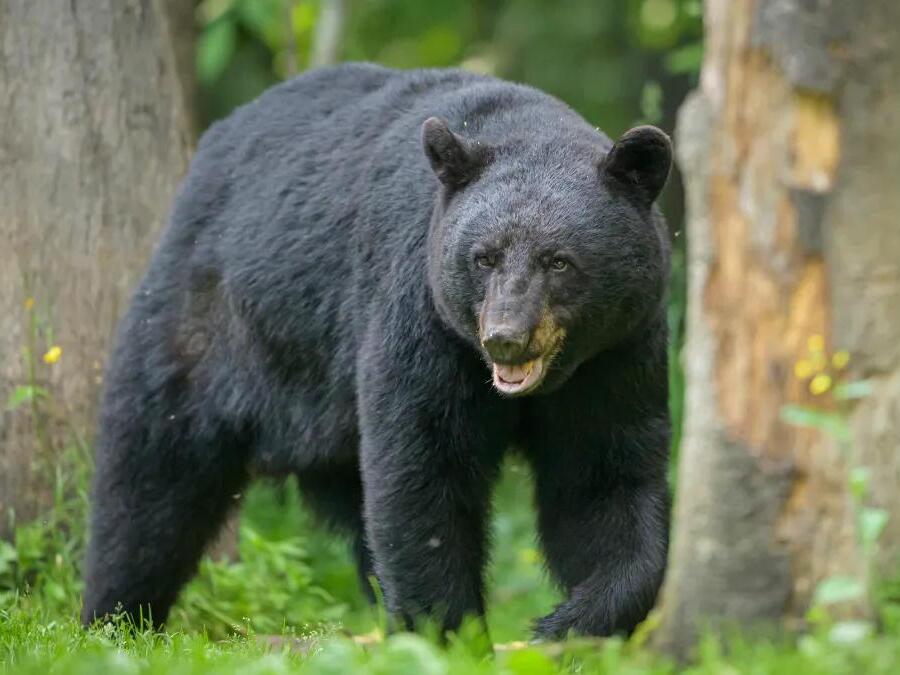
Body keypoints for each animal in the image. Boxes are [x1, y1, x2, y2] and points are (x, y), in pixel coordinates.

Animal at [81, 62, 672, 640]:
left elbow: (602, 478)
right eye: (484, 257)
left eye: (559, 261)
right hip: (206, 325)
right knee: (152, 477)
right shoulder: (421, 317)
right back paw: (115, 618)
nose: (505, 336)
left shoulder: (616, 354)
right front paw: (449, 632)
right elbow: (422, 468)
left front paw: (570, 622)